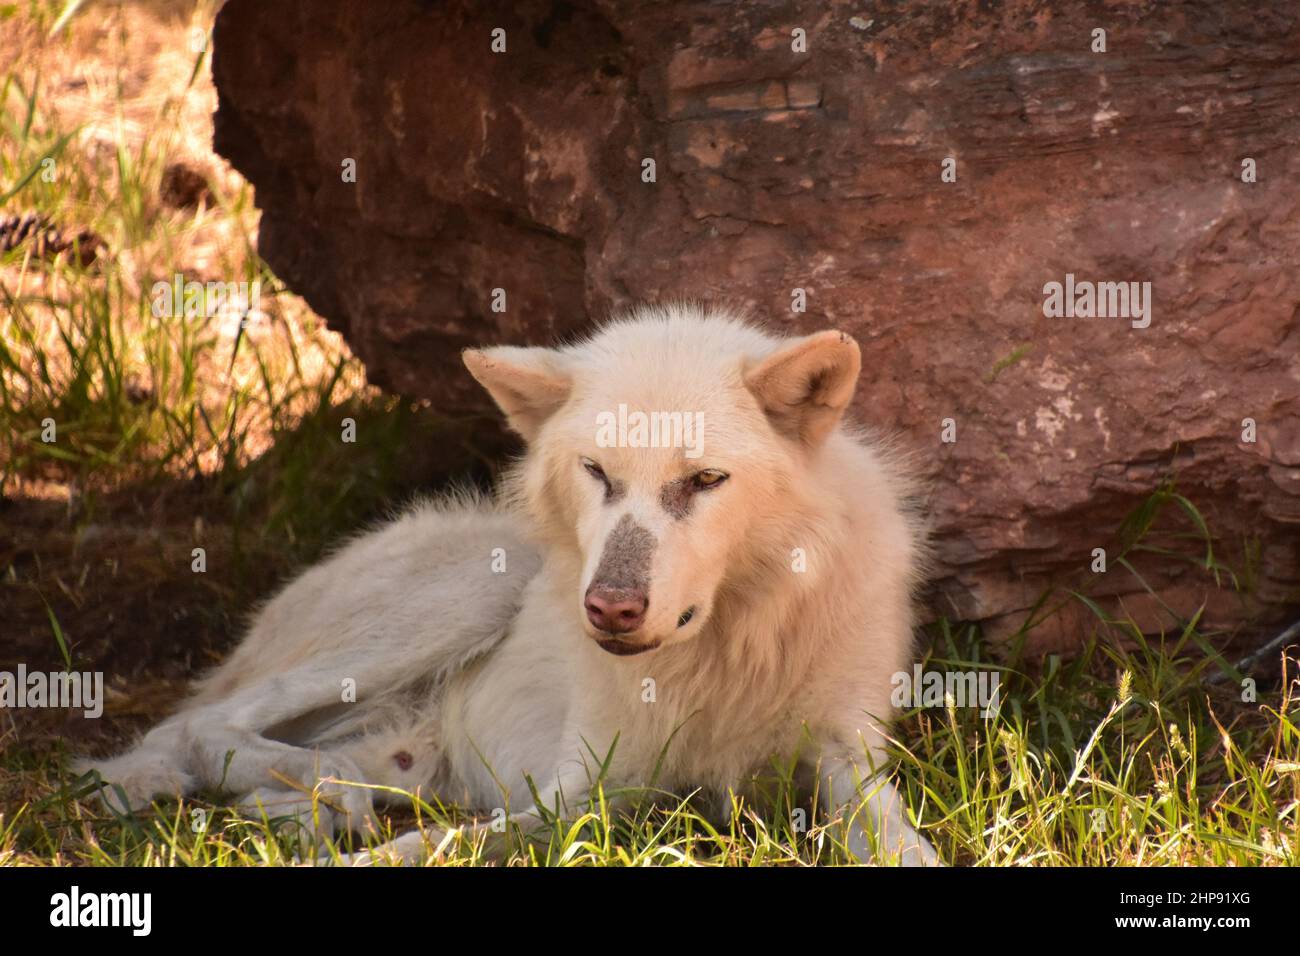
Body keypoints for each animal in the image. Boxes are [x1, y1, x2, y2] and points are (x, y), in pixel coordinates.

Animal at [79, 302, 939, 866]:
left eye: (704, 480)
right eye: (597, 472)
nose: (610, 609)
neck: (728, 651)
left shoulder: (850, 760)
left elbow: (905, 842)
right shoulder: (579, 792)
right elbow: (433, 847)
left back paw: (312, 803)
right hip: (469, 595)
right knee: (201, 726)